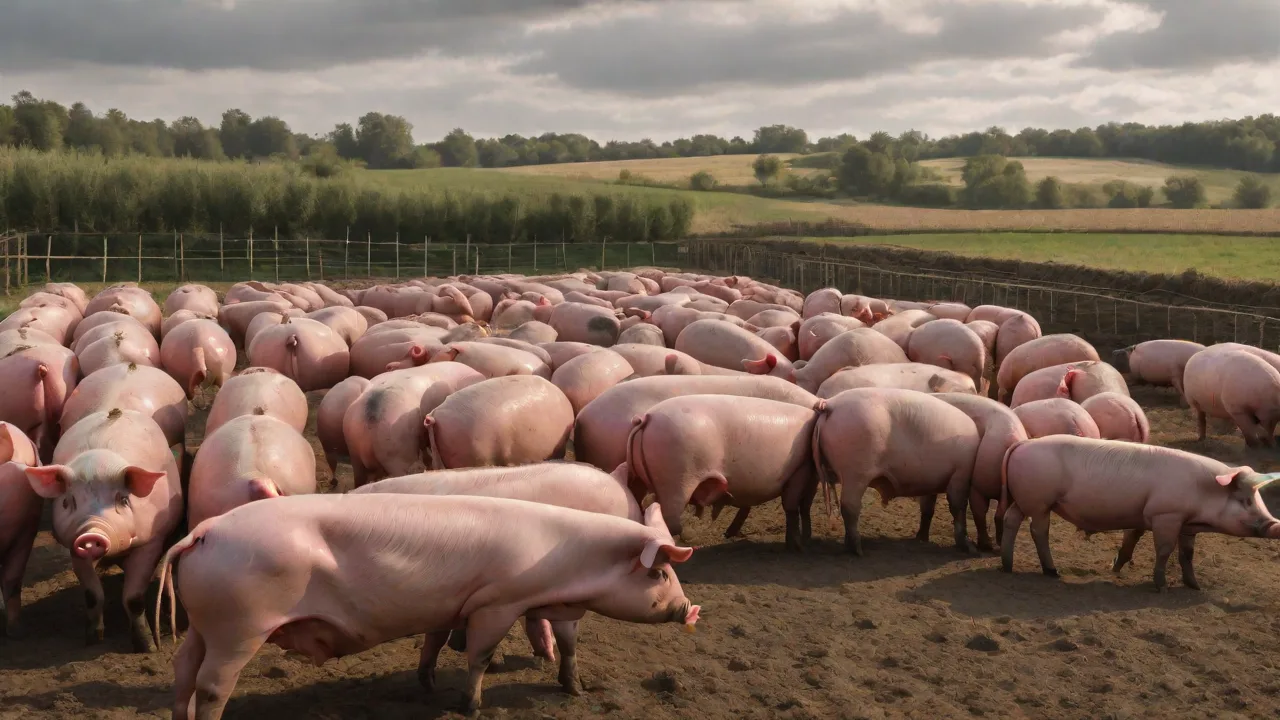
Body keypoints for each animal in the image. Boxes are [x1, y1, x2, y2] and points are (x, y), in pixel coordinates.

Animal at [27, 408, 181, 651]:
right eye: (68, 502)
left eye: (123, 500)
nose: (92, 532)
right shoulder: (73, 545)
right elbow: (92, 594)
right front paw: (92, 639)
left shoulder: (151, 541)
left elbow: (133, 598)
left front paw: (146, 647)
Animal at [156, 495, 698, 718]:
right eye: (660, 573)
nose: (690, 610)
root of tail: (203, 531)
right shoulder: (496, 602)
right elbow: (479, 656)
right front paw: (468, 706)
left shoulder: (492, 605)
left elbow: (564, 644)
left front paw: (576, 690)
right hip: (240, 625)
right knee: (212, 685)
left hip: (205, 624)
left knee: (183, 669)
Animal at [627, 395, 821, 550]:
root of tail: (648, 417)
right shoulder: (800, 469)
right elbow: (791, 505)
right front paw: (797, 547)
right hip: (677, 481)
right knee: (670, 520)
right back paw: (687, 541)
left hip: (639, 478)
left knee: (640, 508)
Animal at [814, 388, 981, 555]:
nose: (974, 550)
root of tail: (829, 404)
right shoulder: (961, 473)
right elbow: (958, 506)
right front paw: (971, 549)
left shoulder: (933, 479)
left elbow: (928, 507)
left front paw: (922, 539)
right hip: (856, 471)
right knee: (850, 506)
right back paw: (859, 551)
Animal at [999, 436, 1280, 590]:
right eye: (1245, 500)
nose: (1274, 523)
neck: (1203, 492)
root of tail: (1023, 443)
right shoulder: (1166, 514)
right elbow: (1164, 550)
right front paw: (1161, 587)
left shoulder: (1185, 524)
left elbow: (1184, 554)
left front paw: (1195, 586)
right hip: (1040, 501)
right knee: (1038, 530)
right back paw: (1052, 571)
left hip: (1024, 500)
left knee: (1011, 519)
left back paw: (1007, 566)